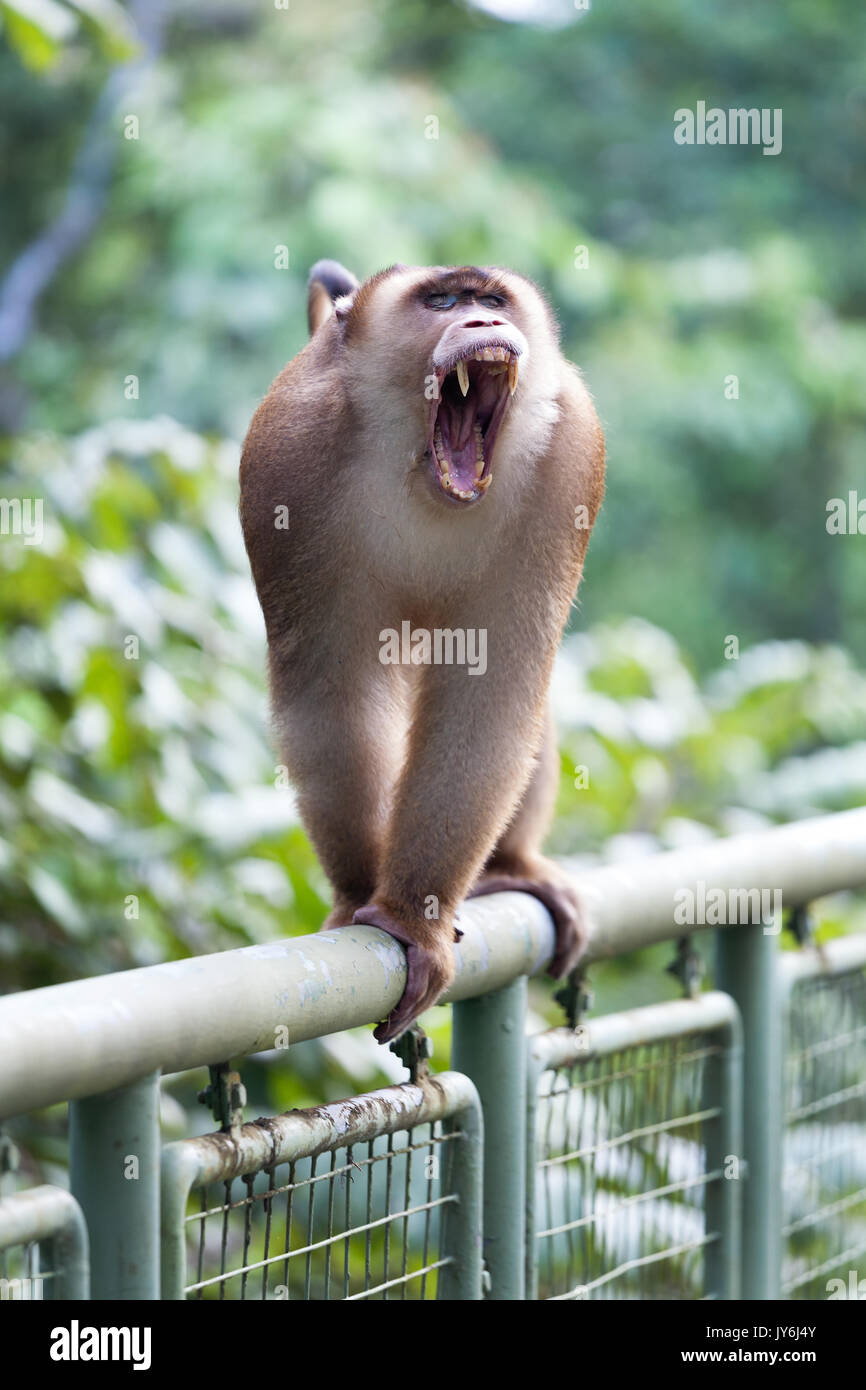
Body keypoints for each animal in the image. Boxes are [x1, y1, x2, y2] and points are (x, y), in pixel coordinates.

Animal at [239, 260, 605, 1043]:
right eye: (441, 300)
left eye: (492, 299)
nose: (483, 323)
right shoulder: (289, 459)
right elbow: (330, 692)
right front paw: (369, 901)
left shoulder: (571, 458)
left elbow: (490, 696)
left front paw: (414, 915)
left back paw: (510, 867)